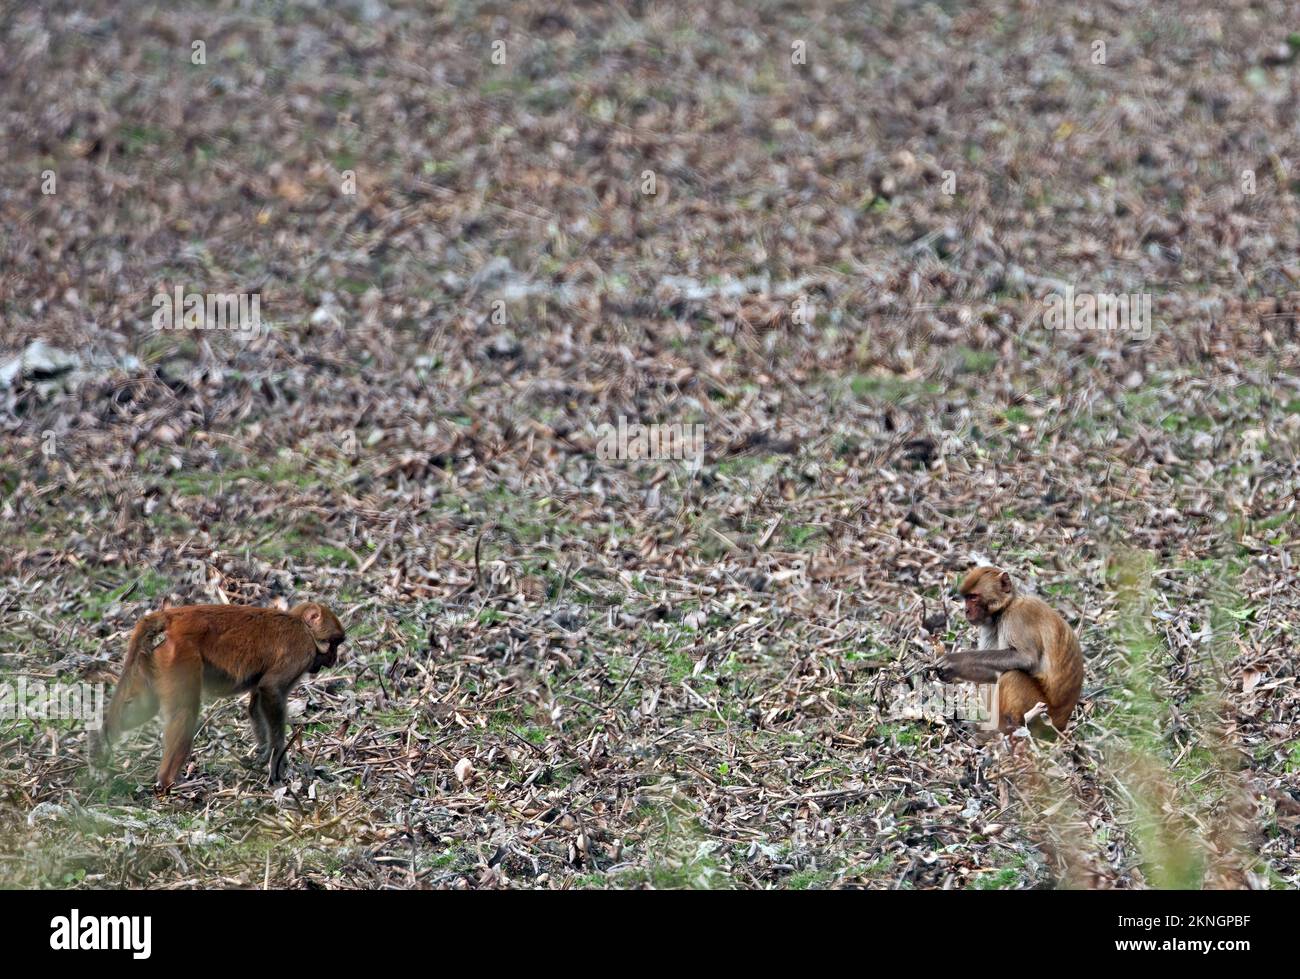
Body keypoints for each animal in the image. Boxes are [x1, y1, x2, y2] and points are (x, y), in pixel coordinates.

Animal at [93, 602, 345, 792]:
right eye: (334, 643)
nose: (333, 659)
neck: (302, 626)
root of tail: (176, 616)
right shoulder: (300, 650)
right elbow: (271, 690)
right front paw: (276, 759)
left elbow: (256, 705)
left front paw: (263, 755)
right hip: (180, 655)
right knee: (185, 710)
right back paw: (167, 780)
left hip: (158, 657)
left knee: (146, 707)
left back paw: (98, 743)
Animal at [937, 567, 1083, 735]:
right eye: (967, 598)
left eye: (973, 597)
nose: (966, 611)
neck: (1005, 607)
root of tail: (1062, 724)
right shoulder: (990, 626)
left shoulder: (1018, 616)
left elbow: (1025, 658)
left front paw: (955, 660)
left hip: (1044, 713)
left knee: (1012, 676)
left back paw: (999, 730)